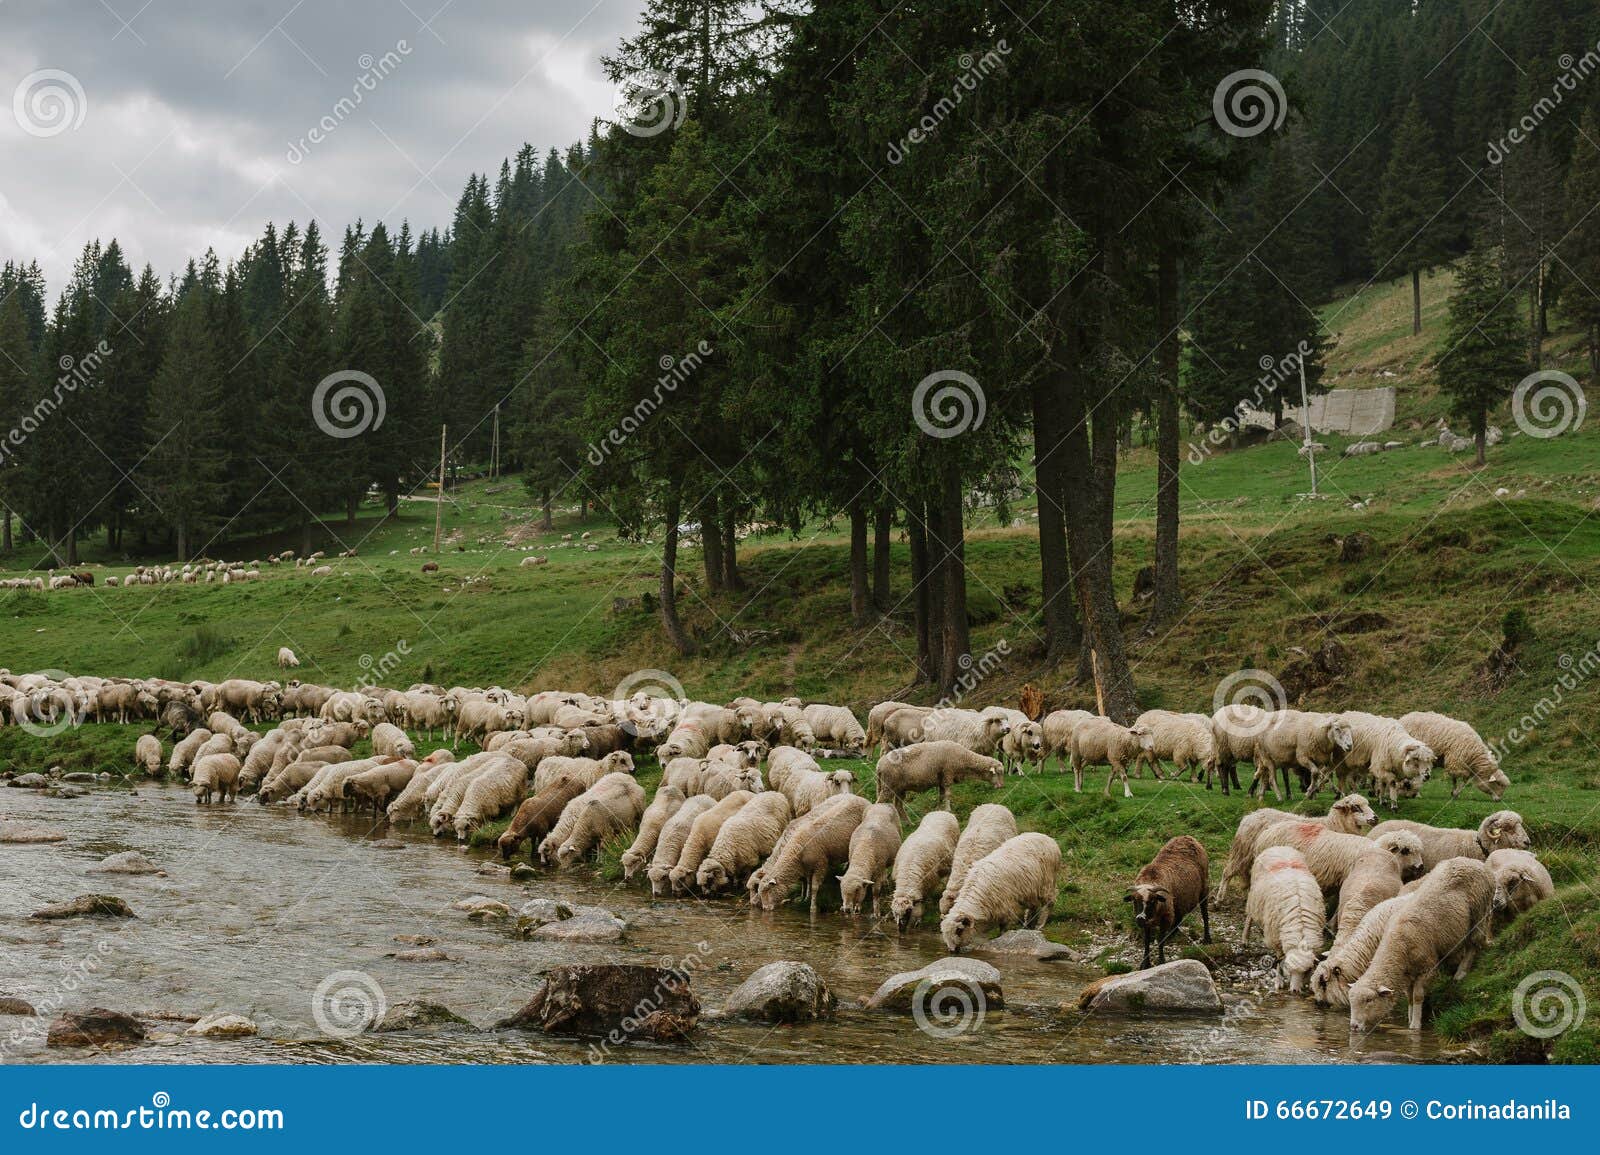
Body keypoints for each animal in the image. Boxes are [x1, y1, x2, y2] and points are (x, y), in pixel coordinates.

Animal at [874, 740, 1004, 819]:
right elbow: (948, 795)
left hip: (898, 788)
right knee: (880, 803)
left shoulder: (941, 780)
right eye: (998, 773)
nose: (1001, 786)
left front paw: (938, 809)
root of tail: (879, 765)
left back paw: (907, 823)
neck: (964, 759)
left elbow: (941, 796)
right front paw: (948, 810)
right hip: (888, 785)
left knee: (898, 805)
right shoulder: (947, 774)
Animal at [1127, 835, 1210, 969]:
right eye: (1135, 900)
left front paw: (1161, 961)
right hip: (1180, 899)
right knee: (1179, 917)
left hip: (1204, 888)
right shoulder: (1147, 923)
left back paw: (1207, 938)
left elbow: (1160, 940)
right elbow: (1146, 941)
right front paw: (1145, 963)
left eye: (1152, 901)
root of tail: (1187, 837)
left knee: (1205, 914)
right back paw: (1172, 934)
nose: (1140, 918)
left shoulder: (1165, 917)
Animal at [1217, 794, 1377, 901]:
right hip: (1241, 852)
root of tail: (1251, 815)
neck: (1332, 824)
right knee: (1227, 872)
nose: (1375, 818)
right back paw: (1219, 898)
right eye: (1356, 807)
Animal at [1243, 847, 1325, 993]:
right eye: (1289, 970)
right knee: (1250, 916)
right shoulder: (1275, 937)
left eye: (1306, 971)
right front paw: (1278, 982)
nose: (1294, 991)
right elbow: (1279, 960)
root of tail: (1279, 847)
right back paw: (1245, 938)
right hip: (1254, 897)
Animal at [1349, 857, 1497, 1033]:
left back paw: (1461, 972)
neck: (1397, 946)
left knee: (1473, 944)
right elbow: (1410, 998)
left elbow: (1418, 996)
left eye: (1368, 1000)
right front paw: (1410, 1018)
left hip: (1480, 911)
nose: (1354, 1026)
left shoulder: (1427, 967)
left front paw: (1415, 1025)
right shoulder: (1407, 975)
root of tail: (1473, 861)